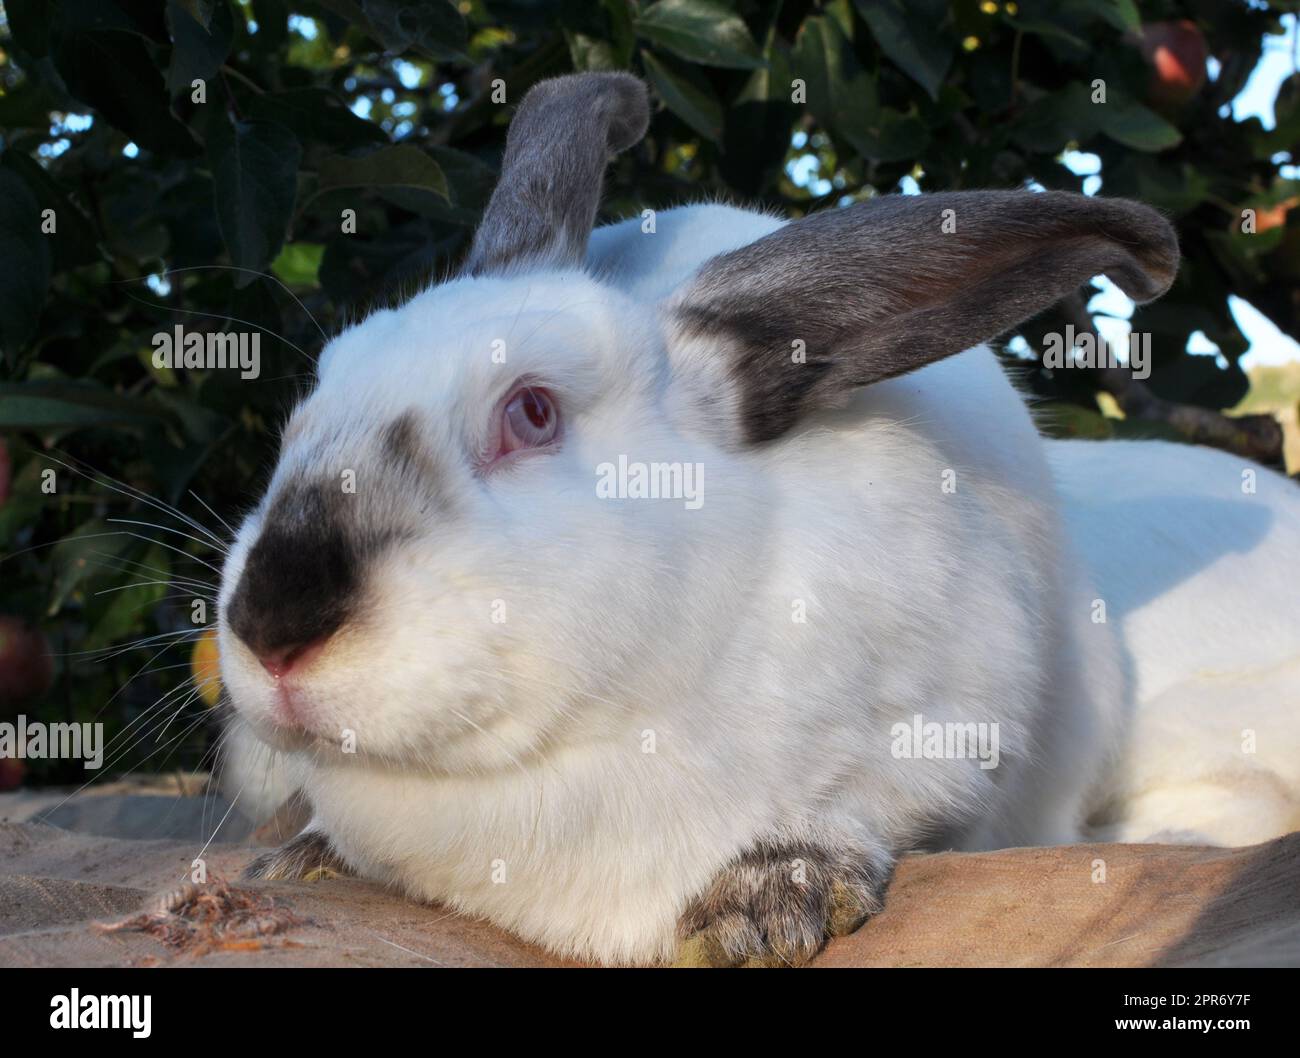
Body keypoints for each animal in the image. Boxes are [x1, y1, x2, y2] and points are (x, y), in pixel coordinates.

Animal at [217, 72, 1300, 966]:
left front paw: (770, 897)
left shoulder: (958, 734)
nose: (272, 626)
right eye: (317, 391)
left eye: (531, 411)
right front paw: (305, 855)